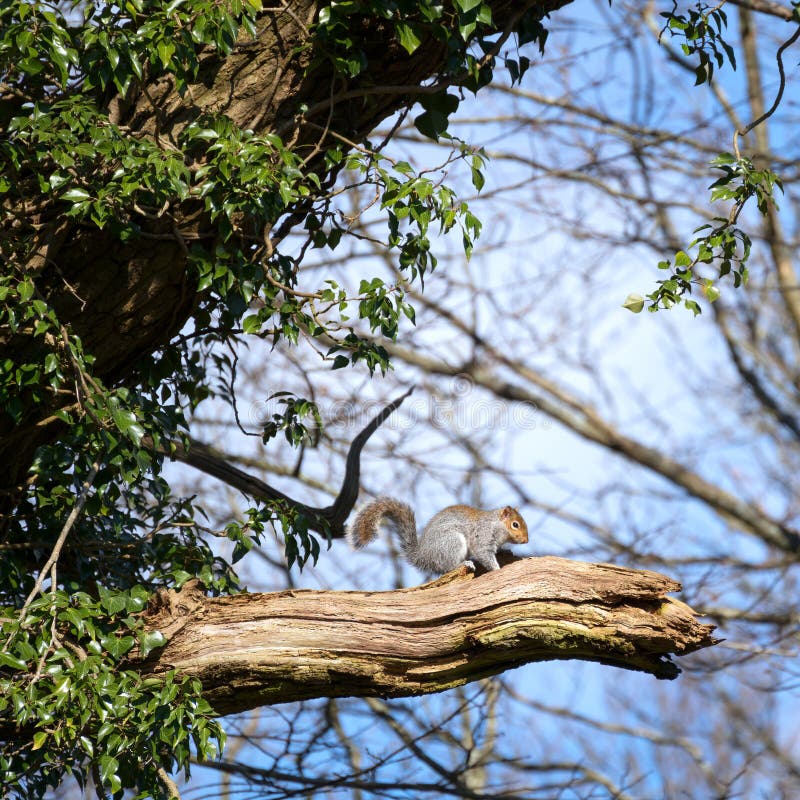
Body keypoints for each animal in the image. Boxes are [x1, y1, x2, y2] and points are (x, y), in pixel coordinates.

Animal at [346, 497, 529, 574]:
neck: (495, 524)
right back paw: (464, 563)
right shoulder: (482, 536)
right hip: (452, 542)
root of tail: (424, 557)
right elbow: (484, 554)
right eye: (515, 524)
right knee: (447, 567)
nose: (526, 541)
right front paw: (497, 568)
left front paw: (505, 551)